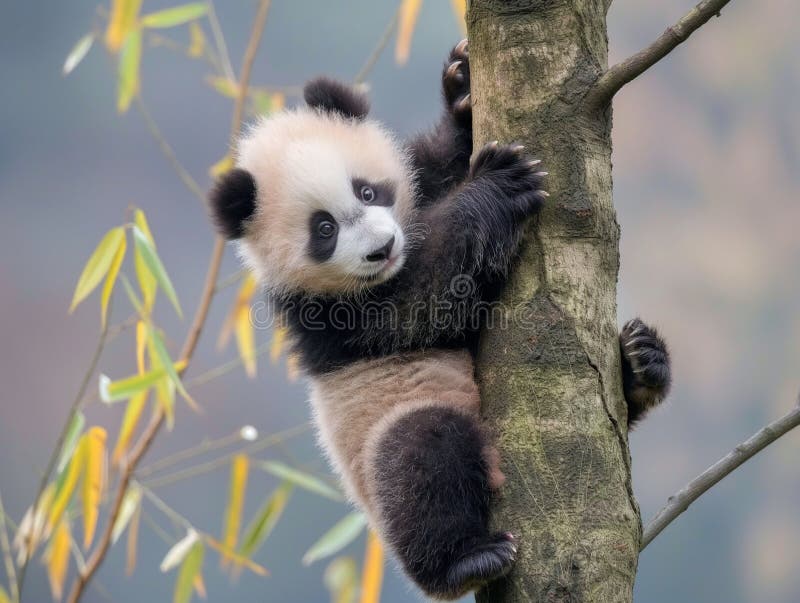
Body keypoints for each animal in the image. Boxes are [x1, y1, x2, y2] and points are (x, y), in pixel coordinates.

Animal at [209, 40, 671, 600]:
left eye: (367, 191)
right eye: (324, 229)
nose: (382, 248)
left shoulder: (418, 189)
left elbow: (436, 164)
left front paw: (462, 88)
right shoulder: (327, 315)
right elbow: (424, 300)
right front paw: (498, 187)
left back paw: (644, 361)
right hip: (383, 436)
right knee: (423, 457)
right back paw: (464, 561)